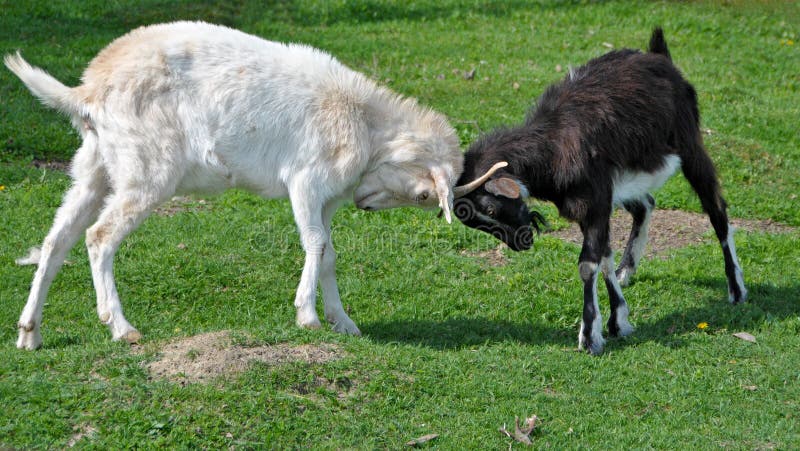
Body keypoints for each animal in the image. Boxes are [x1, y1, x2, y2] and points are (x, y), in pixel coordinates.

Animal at [6, 21, 474, 350]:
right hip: (146, 170)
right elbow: (316, 244)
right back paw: (121, 327)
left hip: (94, 168)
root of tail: (87, 91)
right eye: (424, 194)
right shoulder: (306, 182)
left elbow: (329, 254)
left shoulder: (326, 200)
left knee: (56, 241)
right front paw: (307, 316)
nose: (365, 204)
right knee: (99, 236)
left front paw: (344, 322)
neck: (364, 119)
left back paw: (30, 333)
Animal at [453, 28, 747, 354]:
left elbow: (587, 263)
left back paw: (736, 289)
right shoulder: (594, 204)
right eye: (473, 221)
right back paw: (627, 270)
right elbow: (604, 255)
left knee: (716, 208)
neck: (554, 144)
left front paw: (590, 335)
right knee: (645, 205)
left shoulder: (595, 201)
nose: (521, 242)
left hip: (690, 145)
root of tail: (659, 57)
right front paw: (618, 319)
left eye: (490, 208)